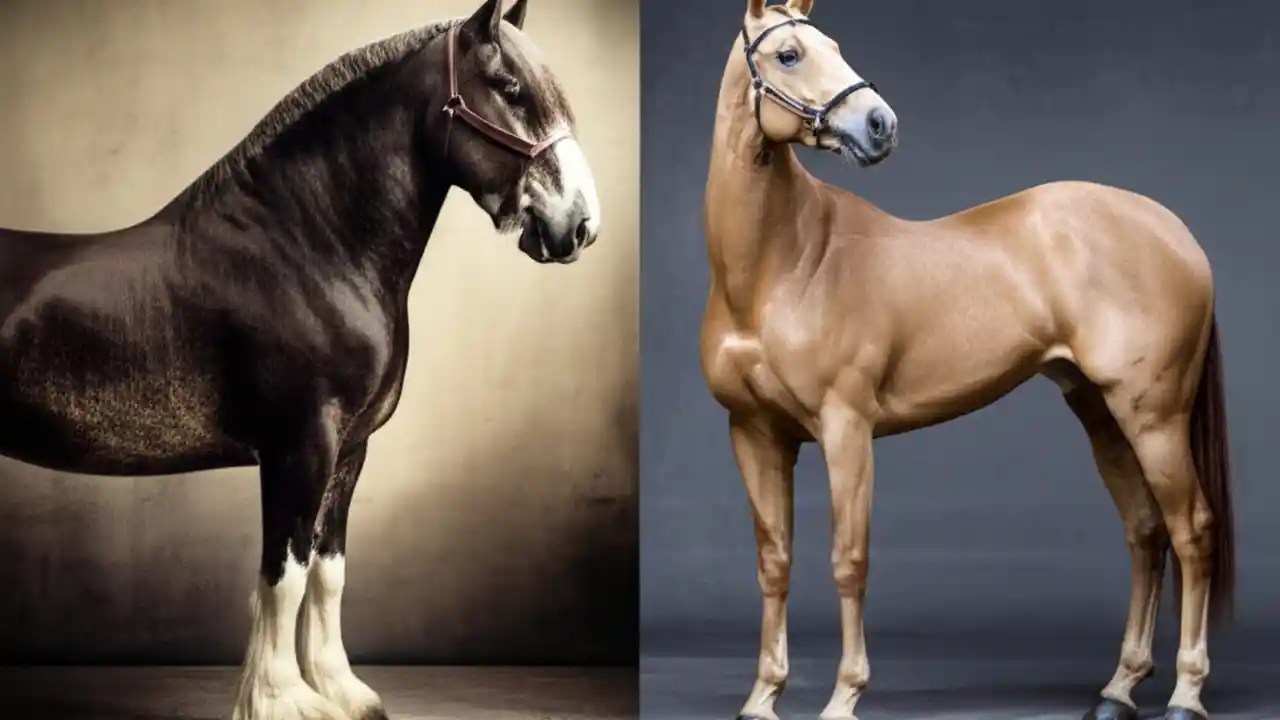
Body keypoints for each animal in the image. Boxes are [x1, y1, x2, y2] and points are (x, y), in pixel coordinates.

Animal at [0, 0, 601, 717]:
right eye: (508, 87)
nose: (580, 224)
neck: (307, 247)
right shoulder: (299, 444)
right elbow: (282, 575)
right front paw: (282, 698)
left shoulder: (350, 449)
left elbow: (328, 569)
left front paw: (340, 689)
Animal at [700, 2, 1232, 720]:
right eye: (789, 54)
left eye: (833, 46)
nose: (880, 124)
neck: (778, 267)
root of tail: (1176, 233)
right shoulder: (755, 434)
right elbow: (774, 561)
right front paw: (762, 696)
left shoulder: (846, 430)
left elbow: (849, 559)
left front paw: (844, 696)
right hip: (1103, 413)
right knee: (1146, 533)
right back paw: (1118, 689)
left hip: (1155, 417)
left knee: (1192, 532)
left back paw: (1186, 693)